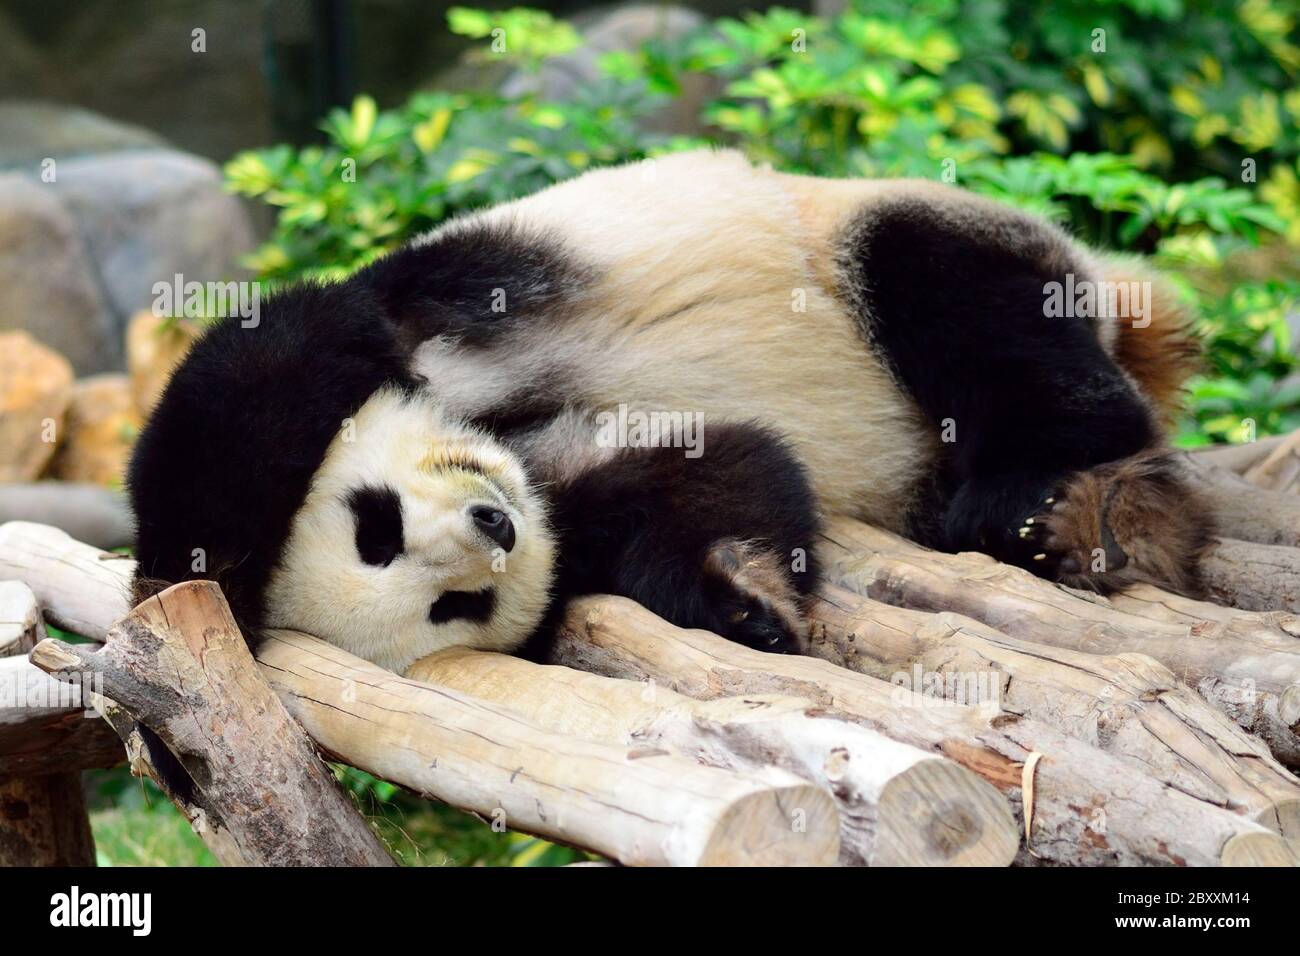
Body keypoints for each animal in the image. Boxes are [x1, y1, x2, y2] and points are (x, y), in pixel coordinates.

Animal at [128, 149, 1209, 673]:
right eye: (451, 607)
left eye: (376, 524)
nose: (492, 528)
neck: (511, 443)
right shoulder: (570, 500)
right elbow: (716, 465)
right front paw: (741, 597)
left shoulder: (418, 306)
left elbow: (255, 382)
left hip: (888, 234)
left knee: (954, 292)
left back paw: (1034, 492)